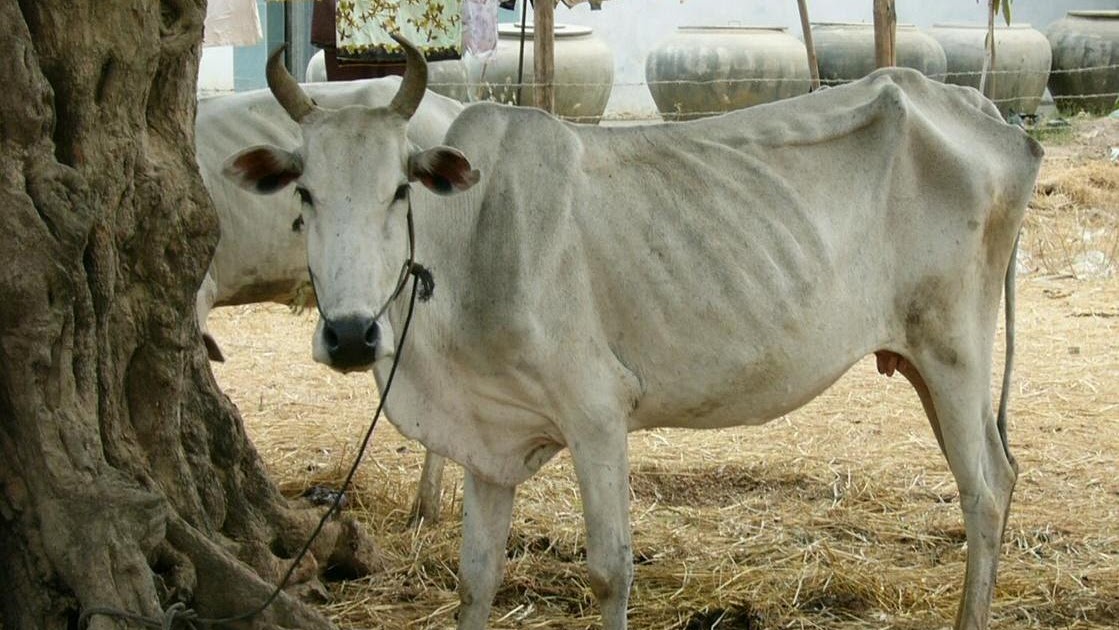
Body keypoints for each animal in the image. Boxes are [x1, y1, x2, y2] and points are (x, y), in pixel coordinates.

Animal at [223, 36, 1043, 630]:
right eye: (304, 193)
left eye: (399, 190)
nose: (351, 335)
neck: (471, 245)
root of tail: (978, 107)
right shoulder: (488, 438)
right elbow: (476, 579)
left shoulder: (596, 413)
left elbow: (609, 571)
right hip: (922, 361)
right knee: (997, 477)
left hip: (954, 350)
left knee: (987, 490)